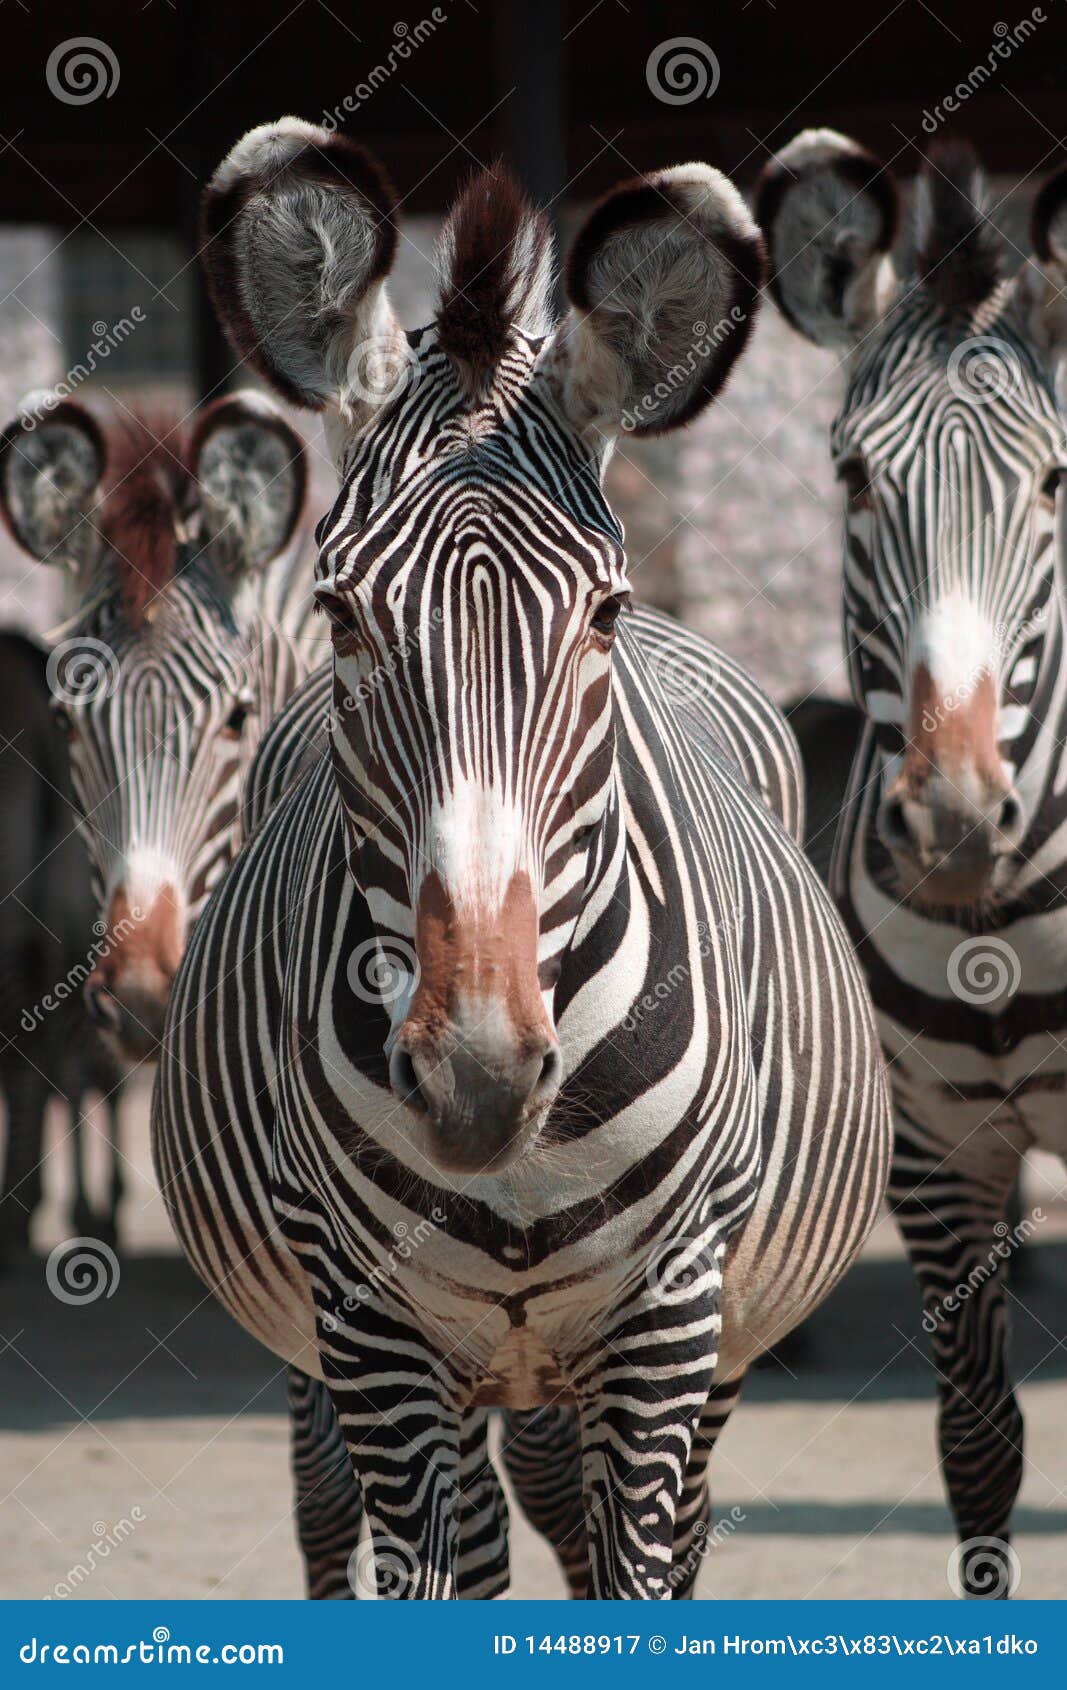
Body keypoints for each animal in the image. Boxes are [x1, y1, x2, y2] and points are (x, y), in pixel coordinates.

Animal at [152, 118, 891, 1600]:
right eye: (341, 615)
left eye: (599, 614)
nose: (479, 1071)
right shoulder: (370, 1331)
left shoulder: (669, 1319)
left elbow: (636, 1572)